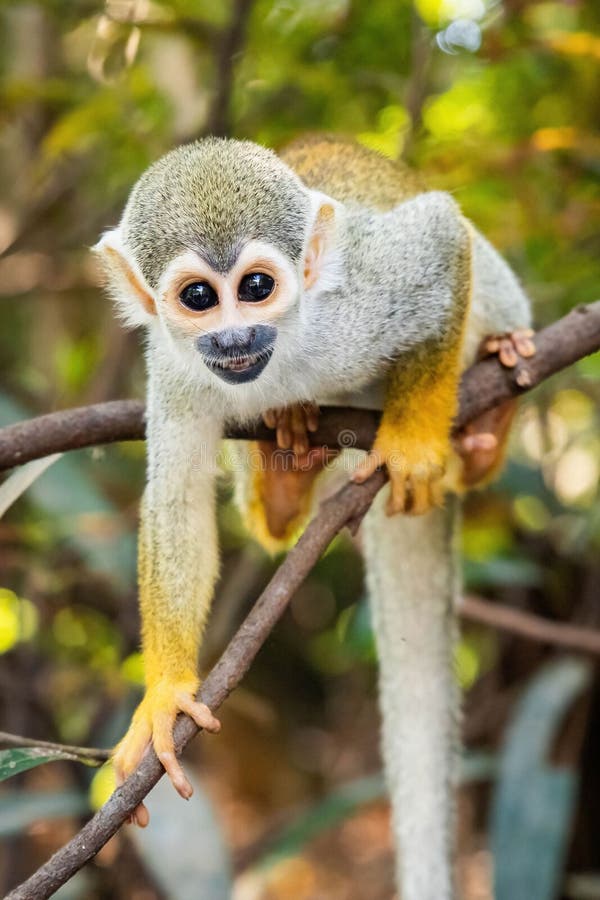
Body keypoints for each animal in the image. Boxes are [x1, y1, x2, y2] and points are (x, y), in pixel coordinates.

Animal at [94, 135, 533, 900]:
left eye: (256, 288)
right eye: (199, 298)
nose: (234, 337)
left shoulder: (356, 304)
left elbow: (439, 235)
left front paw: (414, 443)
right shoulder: (172, 367)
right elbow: (176, 500)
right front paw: (166, 695)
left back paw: (482, 427)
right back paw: (284, 475)